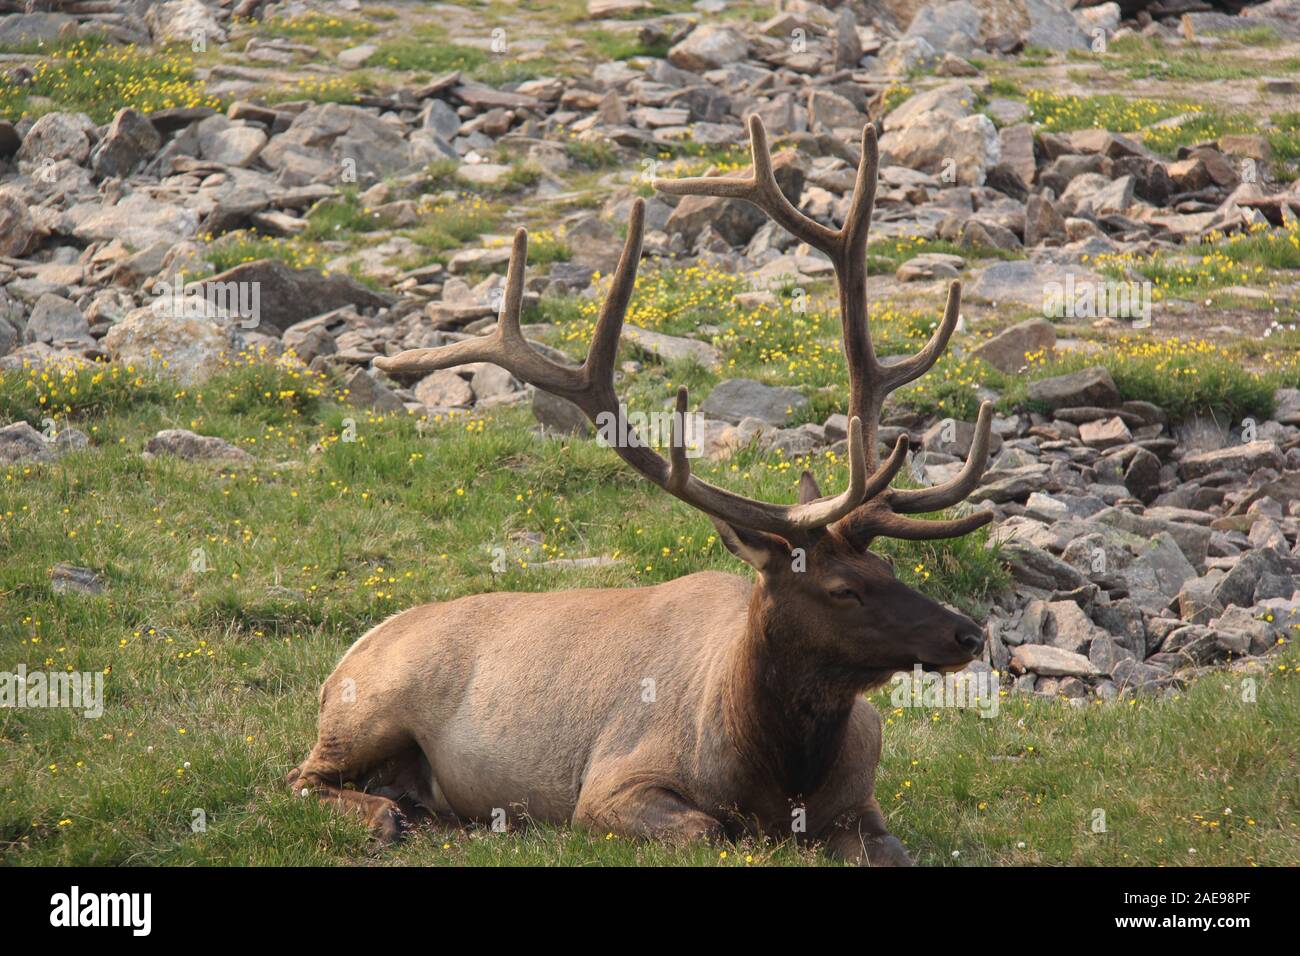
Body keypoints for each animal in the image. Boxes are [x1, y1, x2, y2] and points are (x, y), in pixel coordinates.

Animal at [286, 117, 996, 865]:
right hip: (368, 709)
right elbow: (711, 829)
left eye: (888, 566)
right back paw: (384, 817)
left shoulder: (863, 805)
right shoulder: (611, 784)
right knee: (298, 777)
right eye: (844, 590)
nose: (969, 632)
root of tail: (350, 652)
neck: (782, 779)